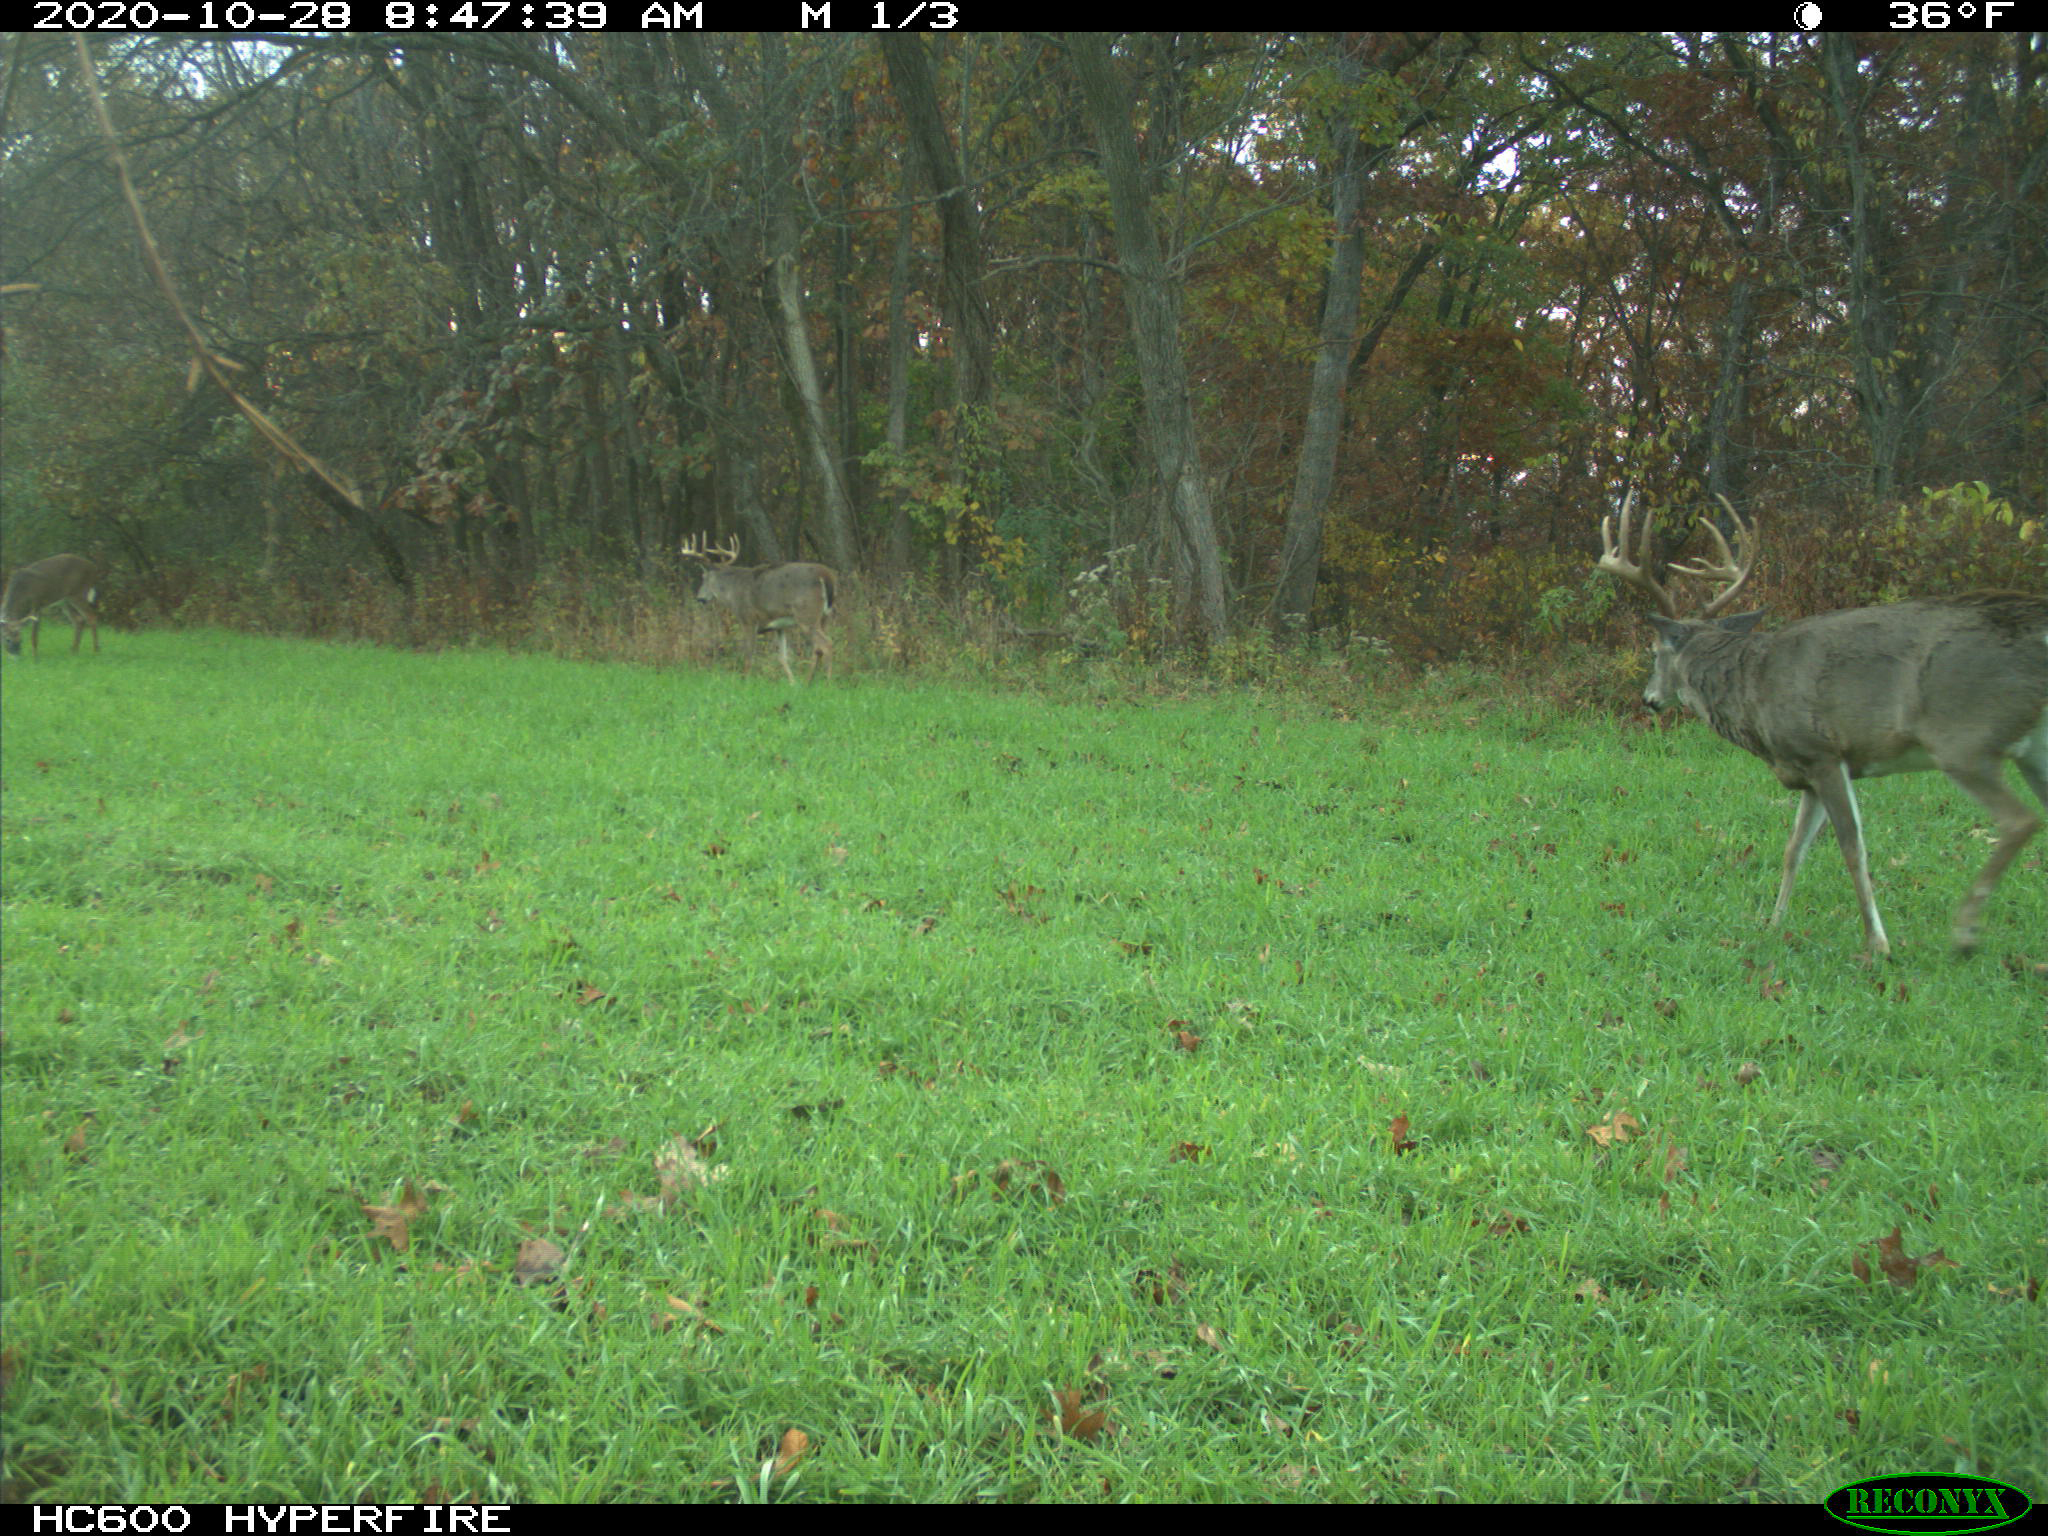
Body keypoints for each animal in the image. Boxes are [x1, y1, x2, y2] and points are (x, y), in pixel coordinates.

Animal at [679, 535, 836, 684]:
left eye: (703, 577)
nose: (699, 598)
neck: (732, 592)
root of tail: (826, 576)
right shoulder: (779, 626)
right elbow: (782, 657)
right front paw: (793, 683)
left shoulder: (748, 619)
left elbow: (749, 655)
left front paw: (744, 682)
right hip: (824, 616)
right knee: (817, 648)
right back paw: (807, 682)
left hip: (806, 614)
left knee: (826, 644)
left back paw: (827, 683)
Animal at [1596, 491, 2047, 957]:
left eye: (1654, 652)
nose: (1649, 699)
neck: (1751, 689)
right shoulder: (1806, 772)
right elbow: (1794, 848)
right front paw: (1774, 924)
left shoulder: (1823, 753)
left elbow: (1852, 847)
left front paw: (1877, 944)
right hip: (2031, 746)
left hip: (1964, 738)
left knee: (2020, 821)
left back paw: (1964, 933)